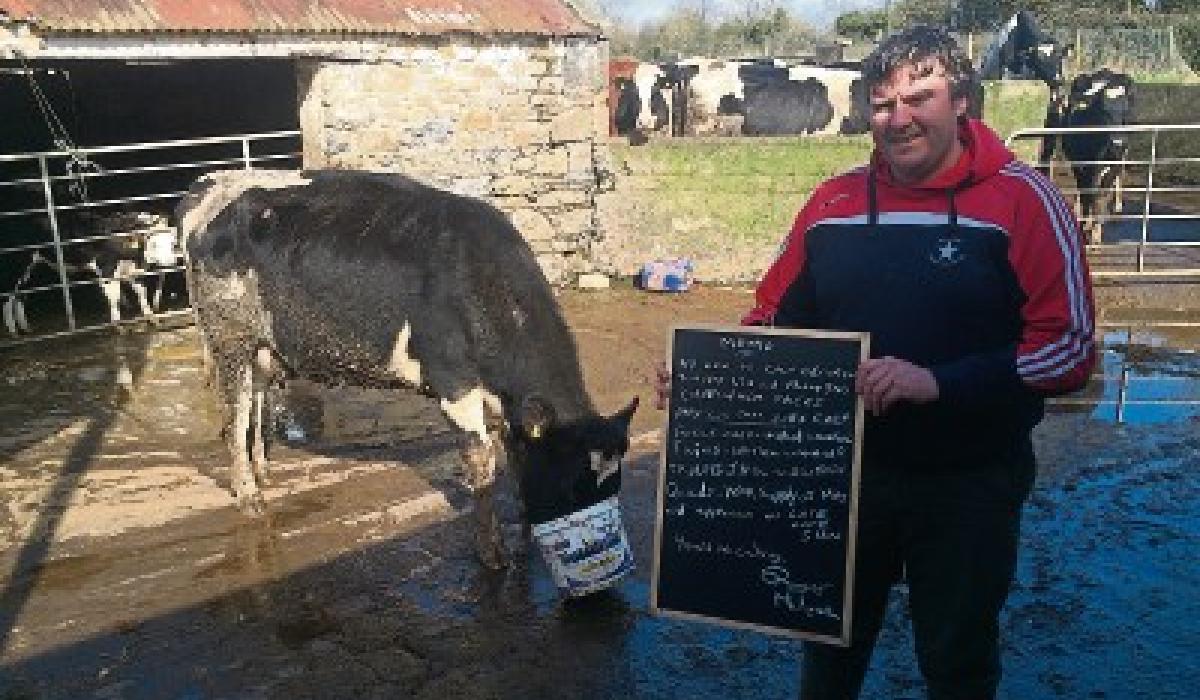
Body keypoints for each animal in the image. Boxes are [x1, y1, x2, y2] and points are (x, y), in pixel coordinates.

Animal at [177, 169, 638, 570]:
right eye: (573, 482)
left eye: (615, 484)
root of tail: (208, 185)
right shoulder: (454, 382)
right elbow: (481, 462)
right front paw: (491, 552)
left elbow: (516, 456)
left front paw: (525, 537)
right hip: (228, 337)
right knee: (234, 418)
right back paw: (248, 496)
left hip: (260, 346)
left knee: (253, 403)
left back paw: (262, 471)